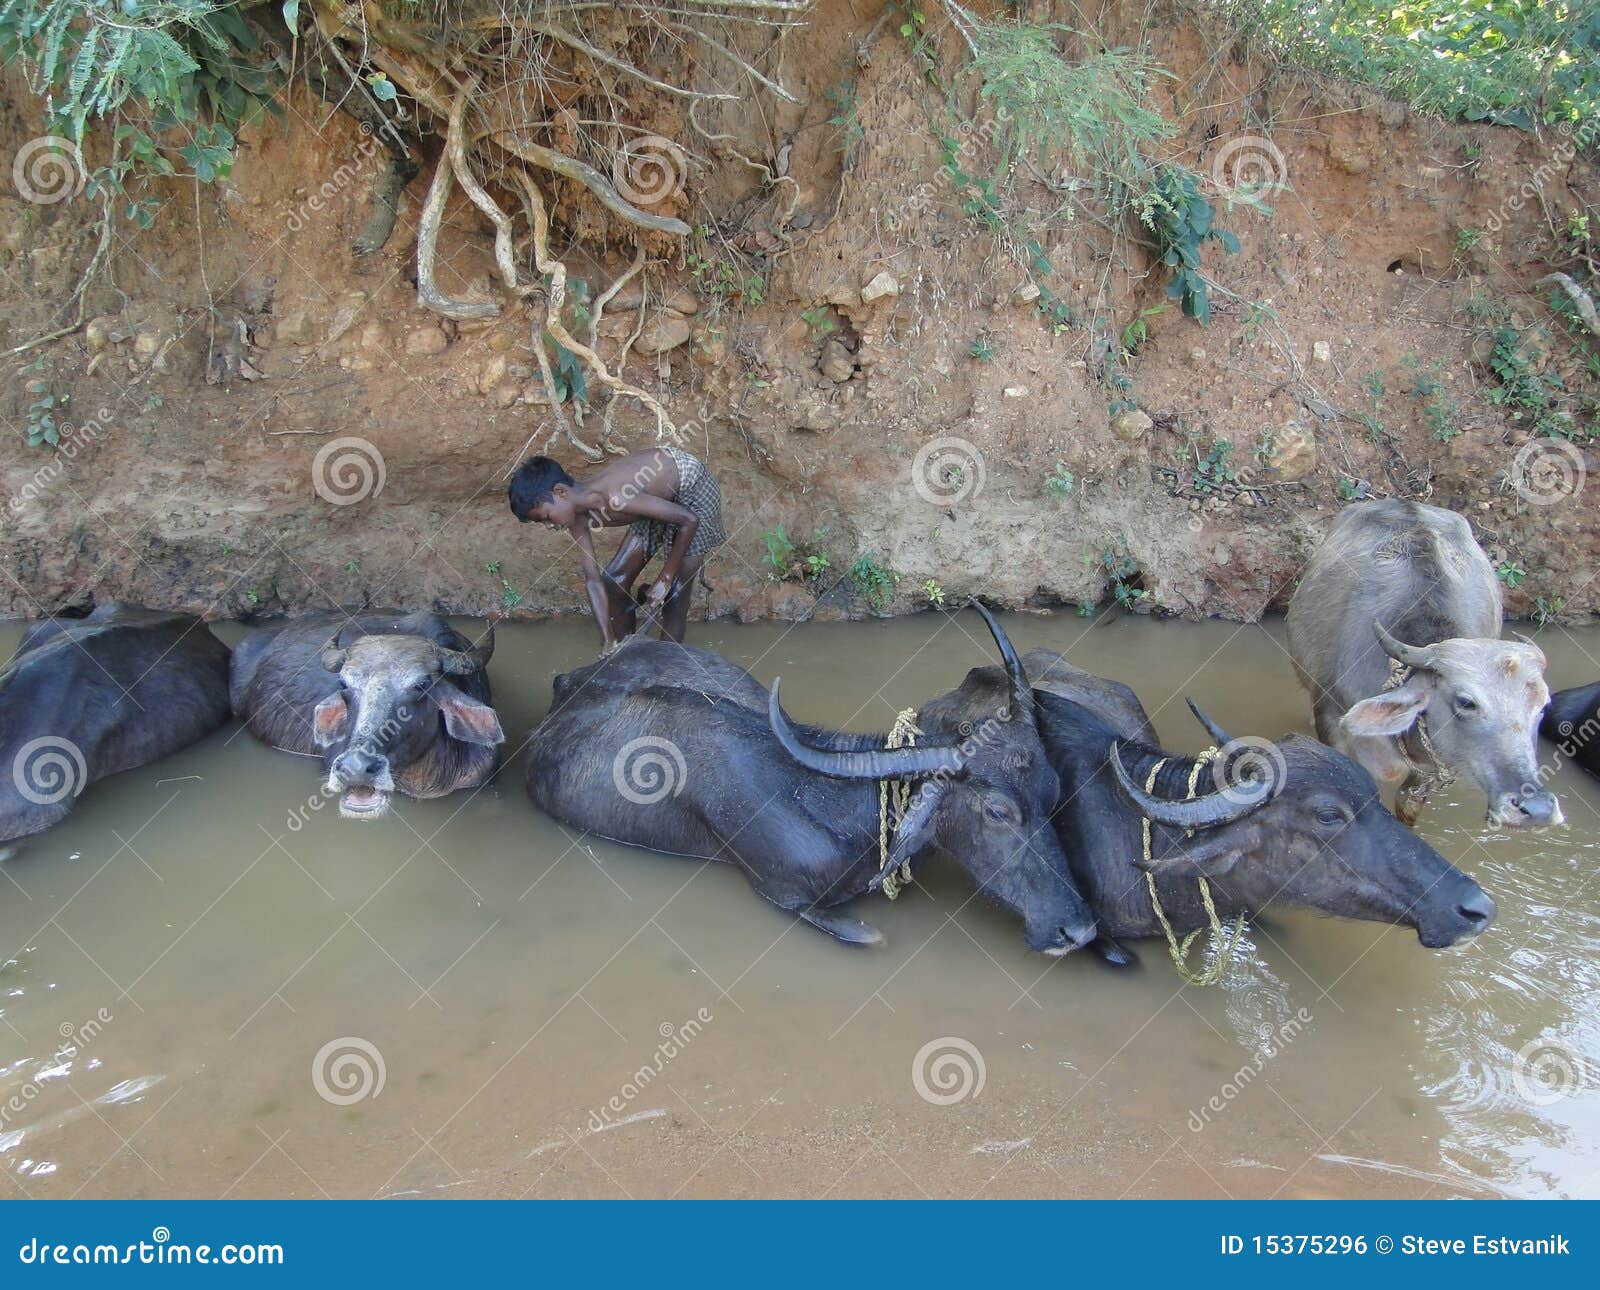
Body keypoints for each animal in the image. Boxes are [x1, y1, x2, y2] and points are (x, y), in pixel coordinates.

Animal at [524, 604, 1096, 953]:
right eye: (998, 811)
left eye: (1053, 791)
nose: (1080, 928)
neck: (828, 806)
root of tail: (573, 678)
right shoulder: (788, 896)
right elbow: (869, 937)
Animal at [1287, 499, 1559, 829]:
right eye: (1466, 702)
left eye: (1543, 705)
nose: (1536, 807)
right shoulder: (1331, 722)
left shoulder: (1427, 773)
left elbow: (1407, 807)